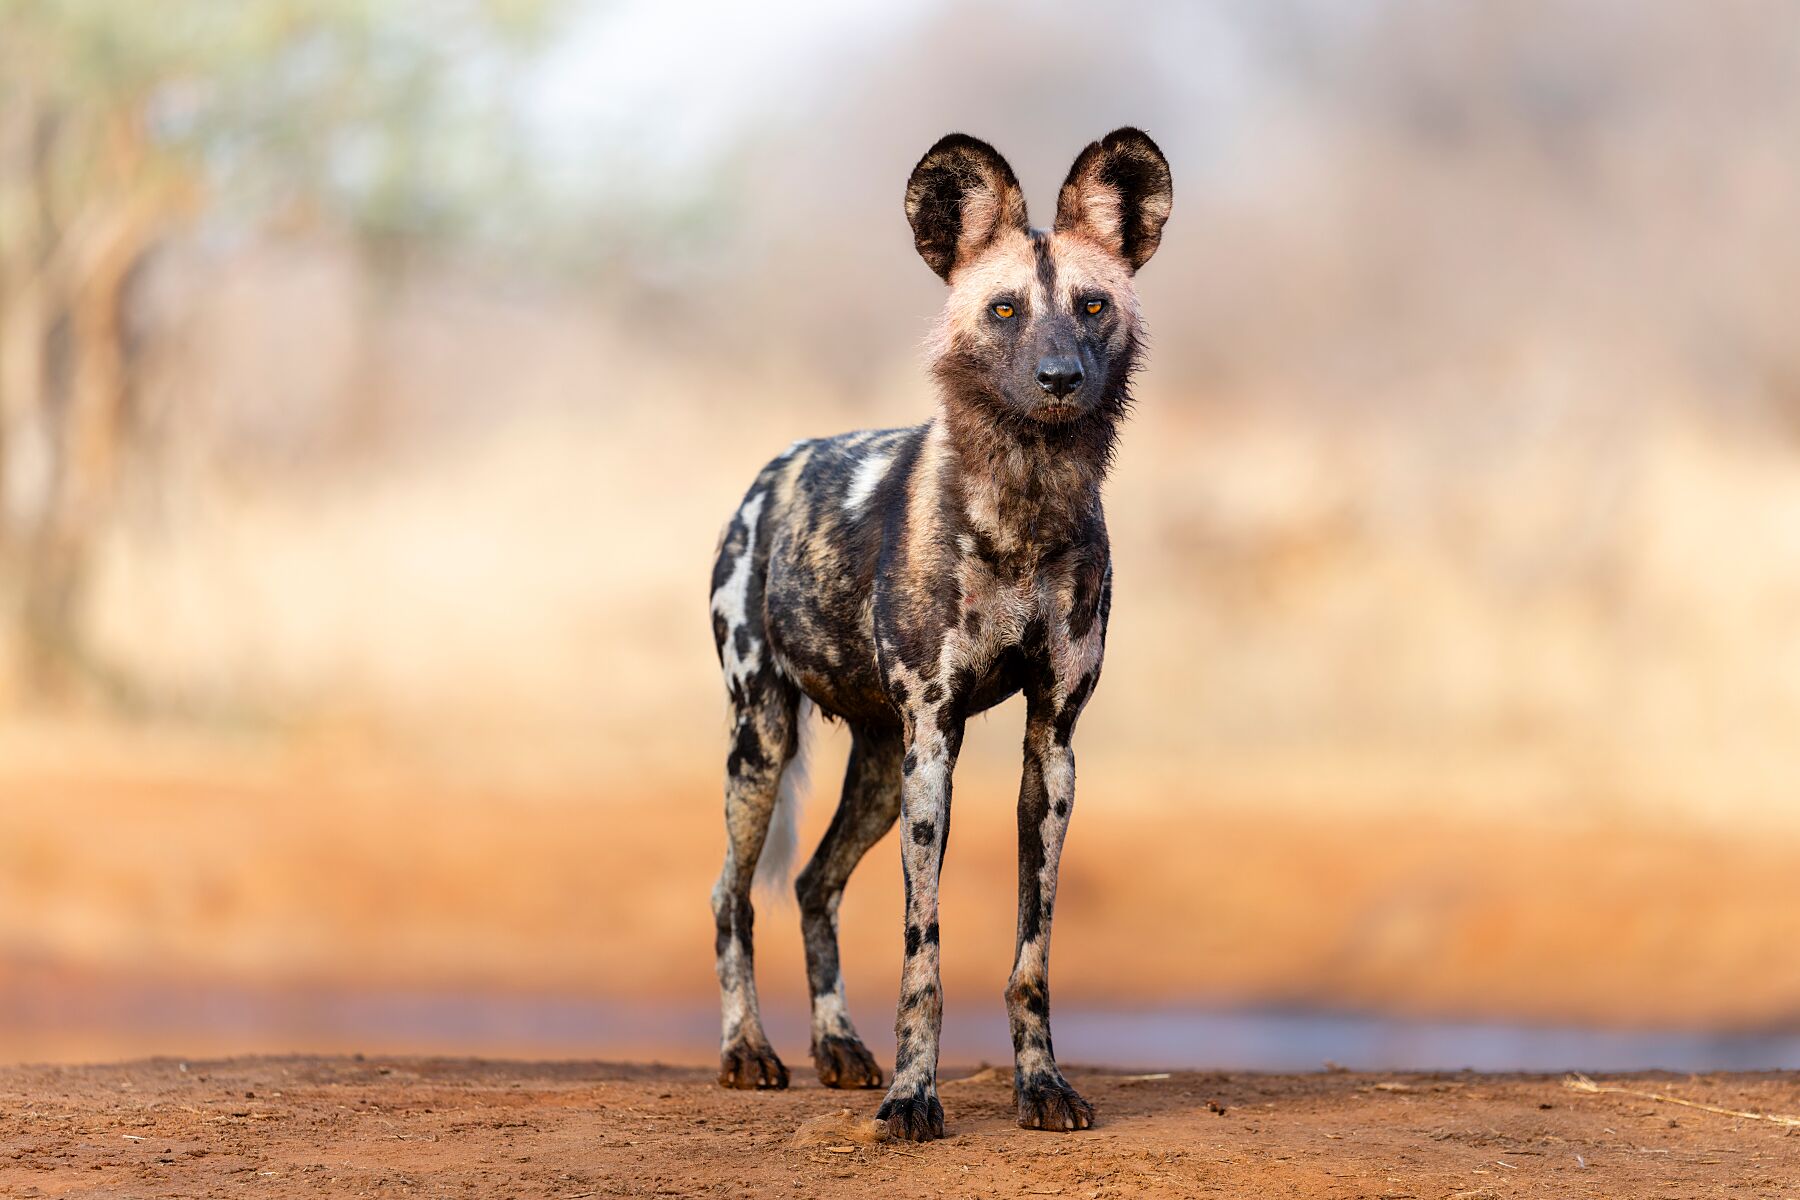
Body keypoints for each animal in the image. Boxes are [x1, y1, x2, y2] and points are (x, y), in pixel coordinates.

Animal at [708, 128, 1172, 1142]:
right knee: (733, 895)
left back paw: (837, 1047)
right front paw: (913, 1100)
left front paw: (1041, 1088)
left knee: (812, 884)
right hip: (767, 742)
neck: (1027, 506)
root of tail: (771, 471)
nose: (1059, 379)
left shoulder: (1052, 745)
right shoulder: (935, 740)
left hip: (880, 764)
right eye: (1004, 310)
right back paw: (748, 1052)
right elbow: (922, 958)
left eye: (1092, 306)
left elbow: (1032, 960)